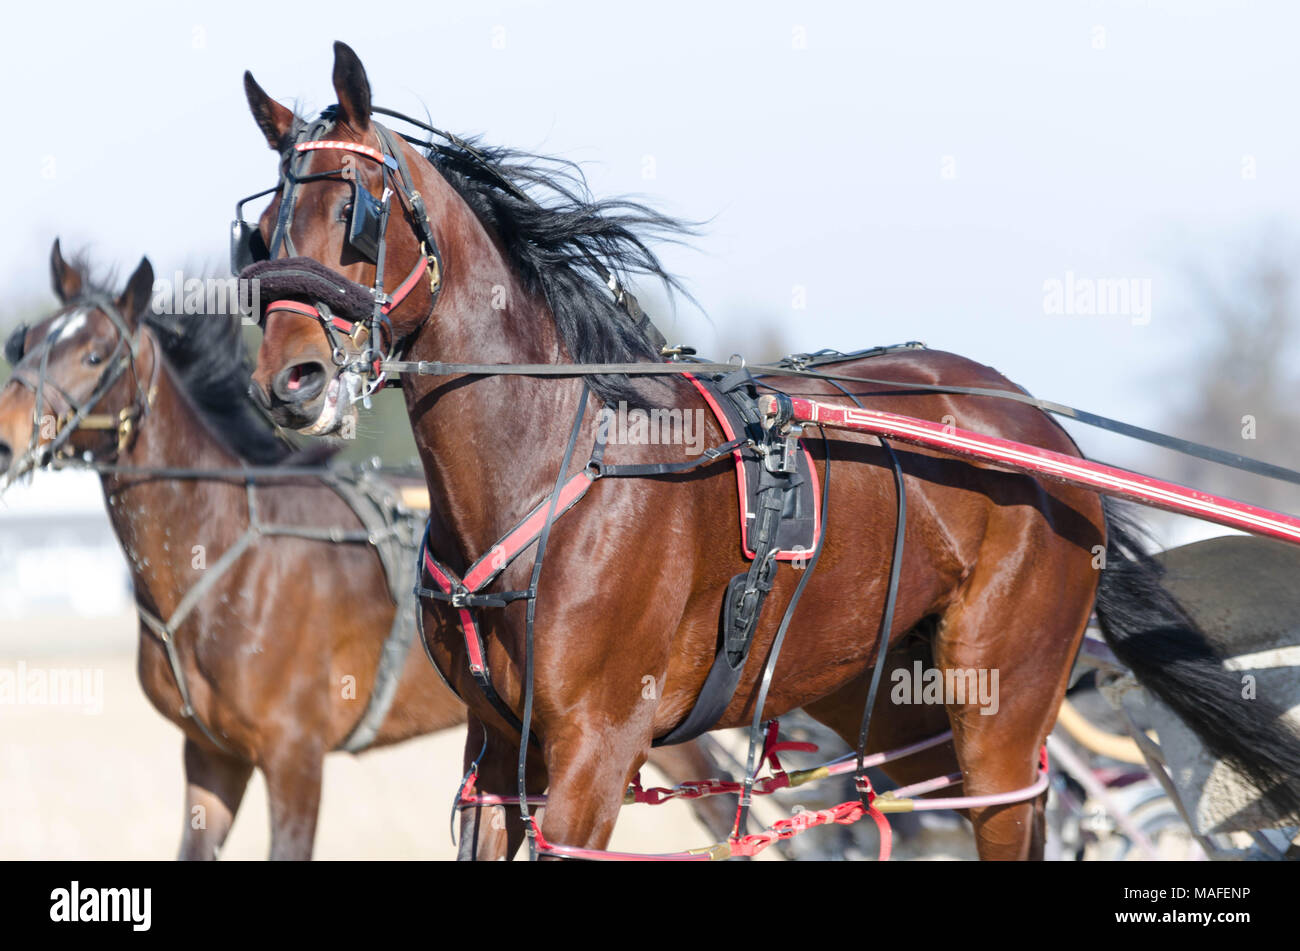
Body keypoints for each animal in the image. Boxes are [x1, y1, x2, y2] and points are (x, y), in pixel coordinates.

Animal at [0, 241, 740, 858]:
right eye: (26, 343)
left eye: (96, 353)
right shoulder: (213, 757)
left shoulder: (294, 755)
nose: (7, 438)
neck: (224, 555)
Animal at [239, 42, 1300, 859]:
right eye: (260, 229)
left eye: (360, 210)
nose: (289, 383)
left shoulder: (595, 748)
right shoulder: (497, 751)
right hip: (891, 691)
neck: (555, 468)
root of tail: (1043, 429)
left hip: (1002, 706)